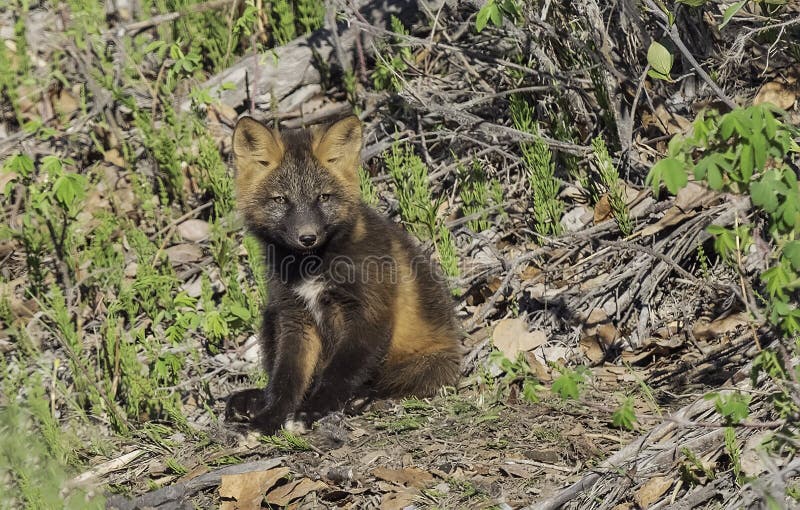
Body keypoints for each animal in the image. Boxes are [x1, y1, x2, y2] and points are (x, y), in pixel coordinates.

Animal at [225, 114, 462, 434]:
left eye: (323, 197)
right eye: (281, 200)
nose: (307, 237)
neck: (312, 269)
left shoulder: (368, 314)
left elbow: (337, 376)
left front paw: (310, 412)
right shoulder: (295, 318)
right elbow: (286, 380)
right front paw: (270, 417)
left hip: (426, 364)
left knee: (382, 384)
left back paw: (361, 399)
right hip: (270, 317)